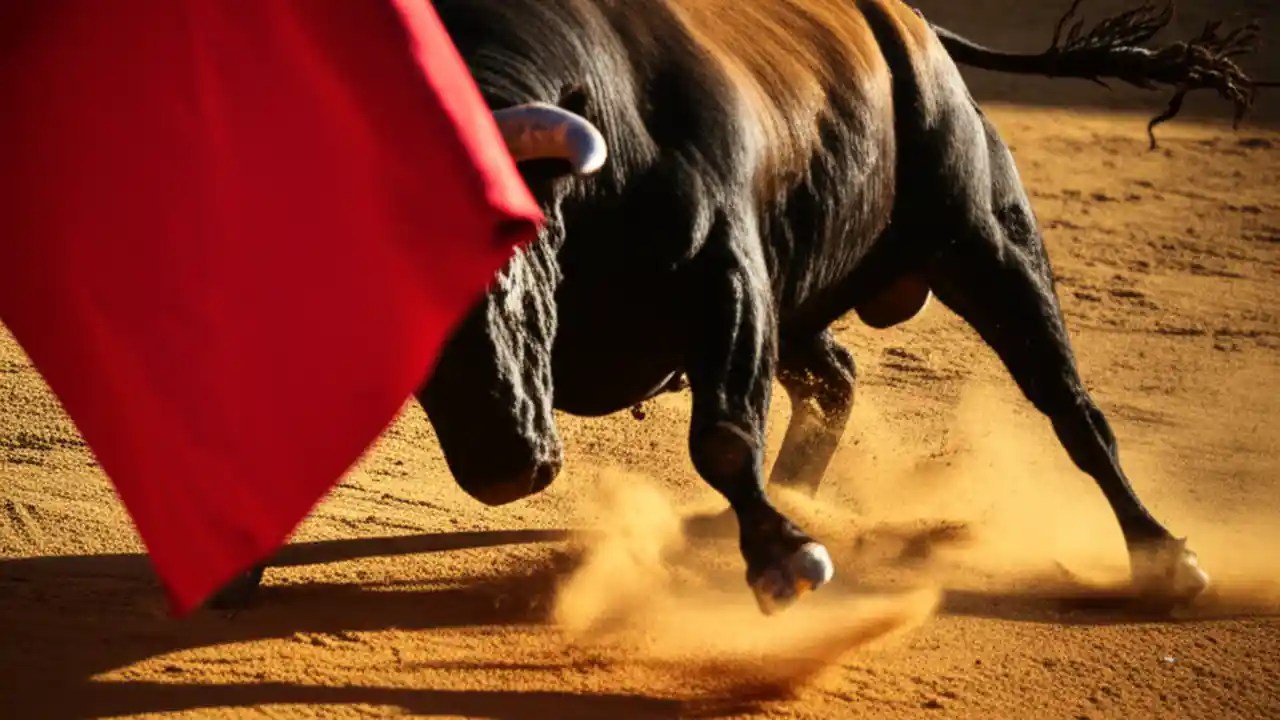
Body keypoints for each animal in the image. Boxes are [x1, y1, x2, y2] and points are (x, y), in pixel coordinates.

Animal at [213, 0, 1269, 615]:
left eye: (509, 274)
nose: (509, 467)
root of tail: (919, 27)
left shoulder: (727, 275)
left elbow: (720, 435)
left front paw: (784, 558)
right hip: (813, 290)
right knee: (834, 376)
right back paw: (790, 497)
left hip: (984, 236)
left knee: (1068, 404)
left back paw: (1164, 558)